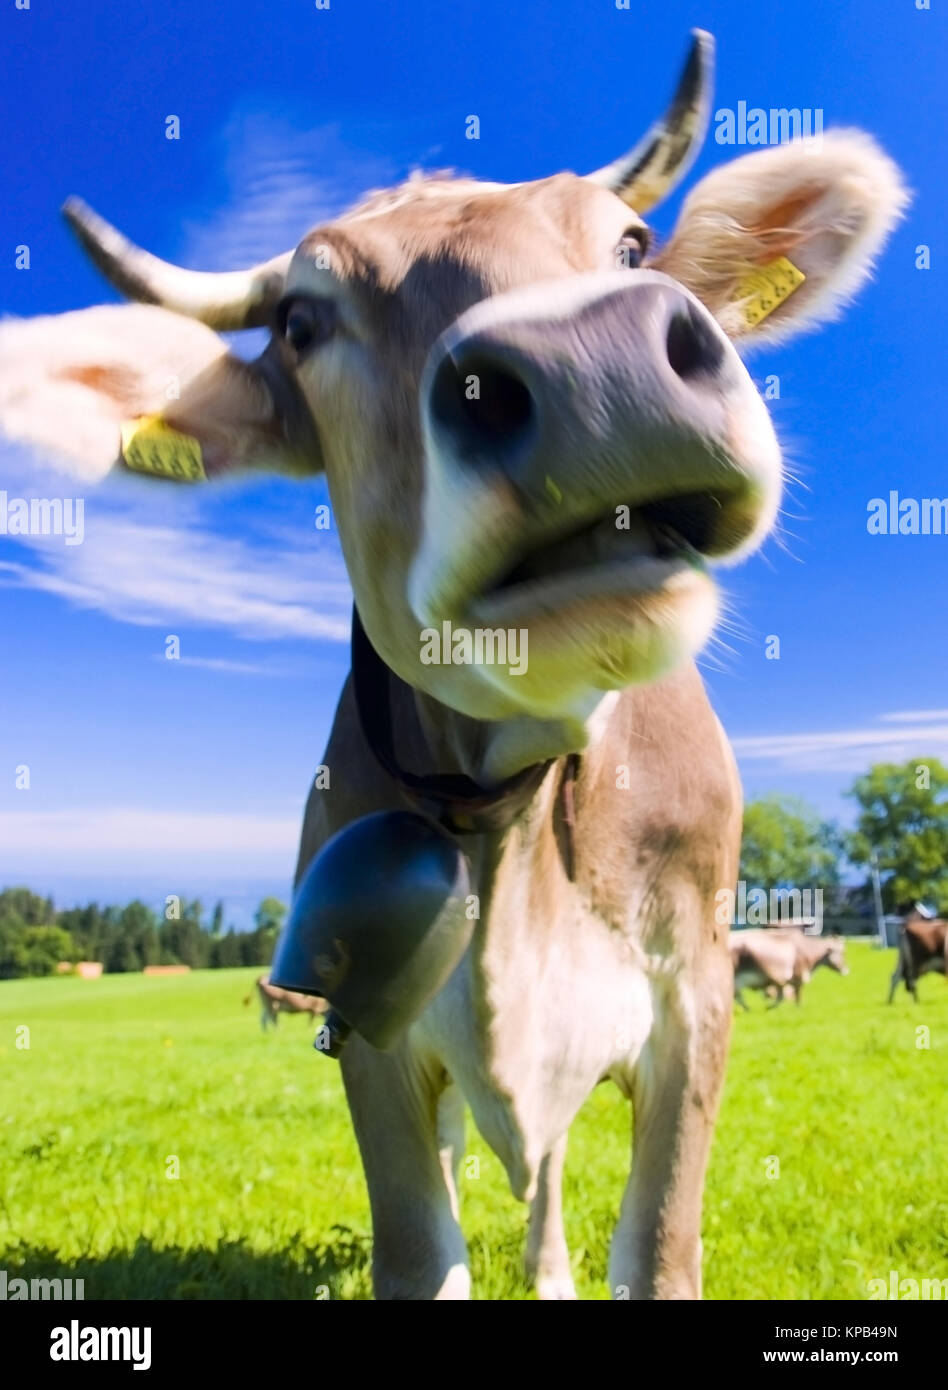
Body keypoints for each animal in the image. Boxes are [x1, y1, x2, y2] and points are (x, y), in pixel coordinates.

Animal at [0, 33, 906, 1299]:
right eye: (301, 322)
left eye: (633, 245)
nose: (593, 363)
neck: (517, 810)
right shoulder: (371, 1044)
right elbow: (421, 1254)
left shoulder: (696, 1006)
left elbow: (657, 1250)